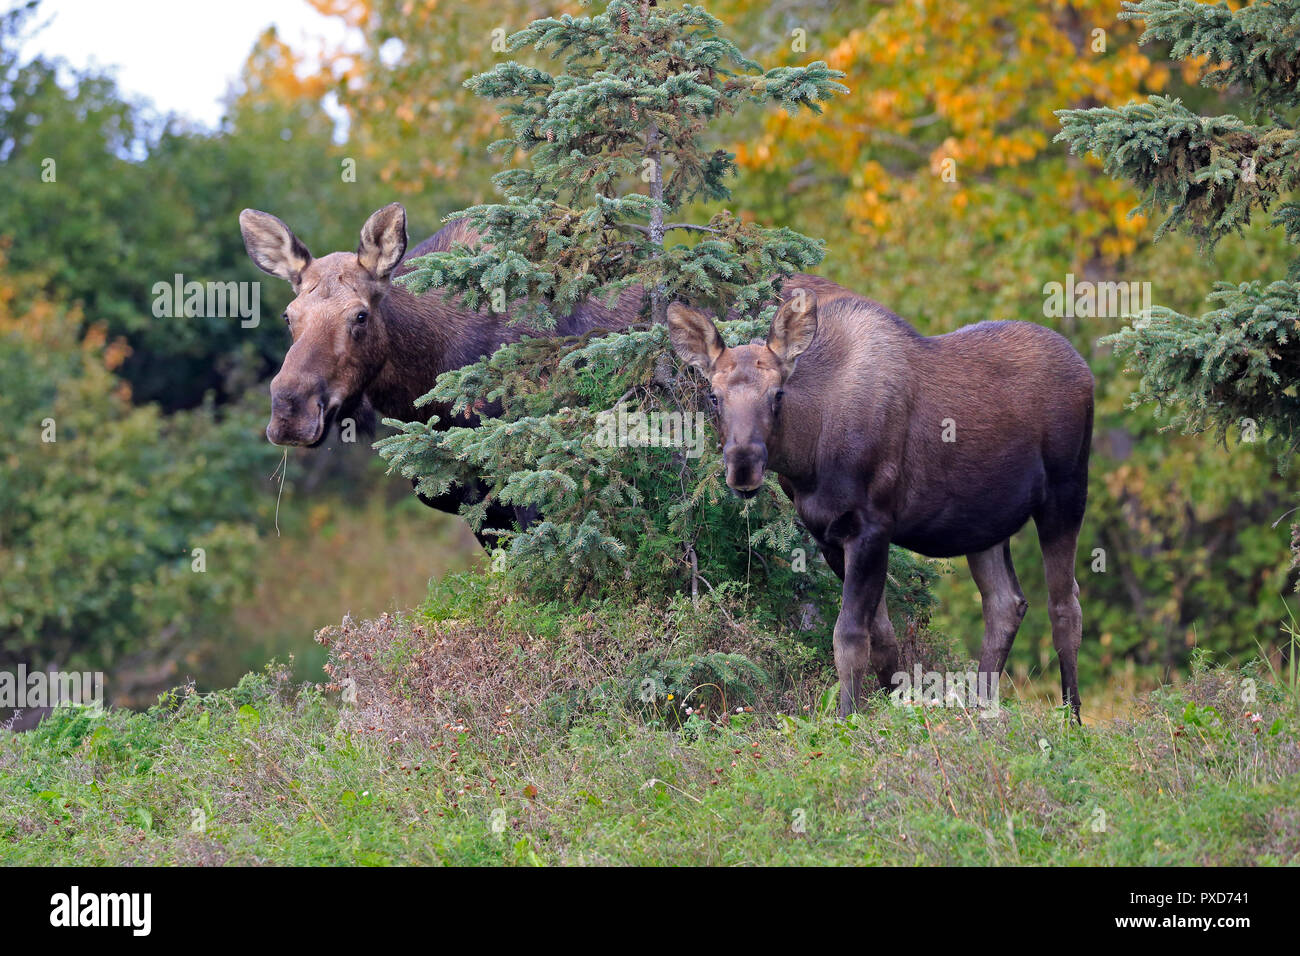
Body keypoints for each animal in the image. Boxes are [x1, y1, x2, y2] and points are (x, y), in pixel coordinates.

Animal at [667, 279, 1094, 720]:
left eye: (778, 394)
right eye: (713, 396)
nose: (743, 466)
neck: (810, 456)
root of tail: (1084, 369)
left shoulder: (871, 526)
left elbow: (849, 636)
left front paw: (847, 717)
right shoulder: (826, 534)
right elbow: (882, 637)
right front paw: (896, 707)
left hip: (1066, 492)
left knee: (1065, 605)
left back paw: (1072, 718)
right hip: (984, 521)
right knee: (1005, 603)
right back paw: (982, 710)